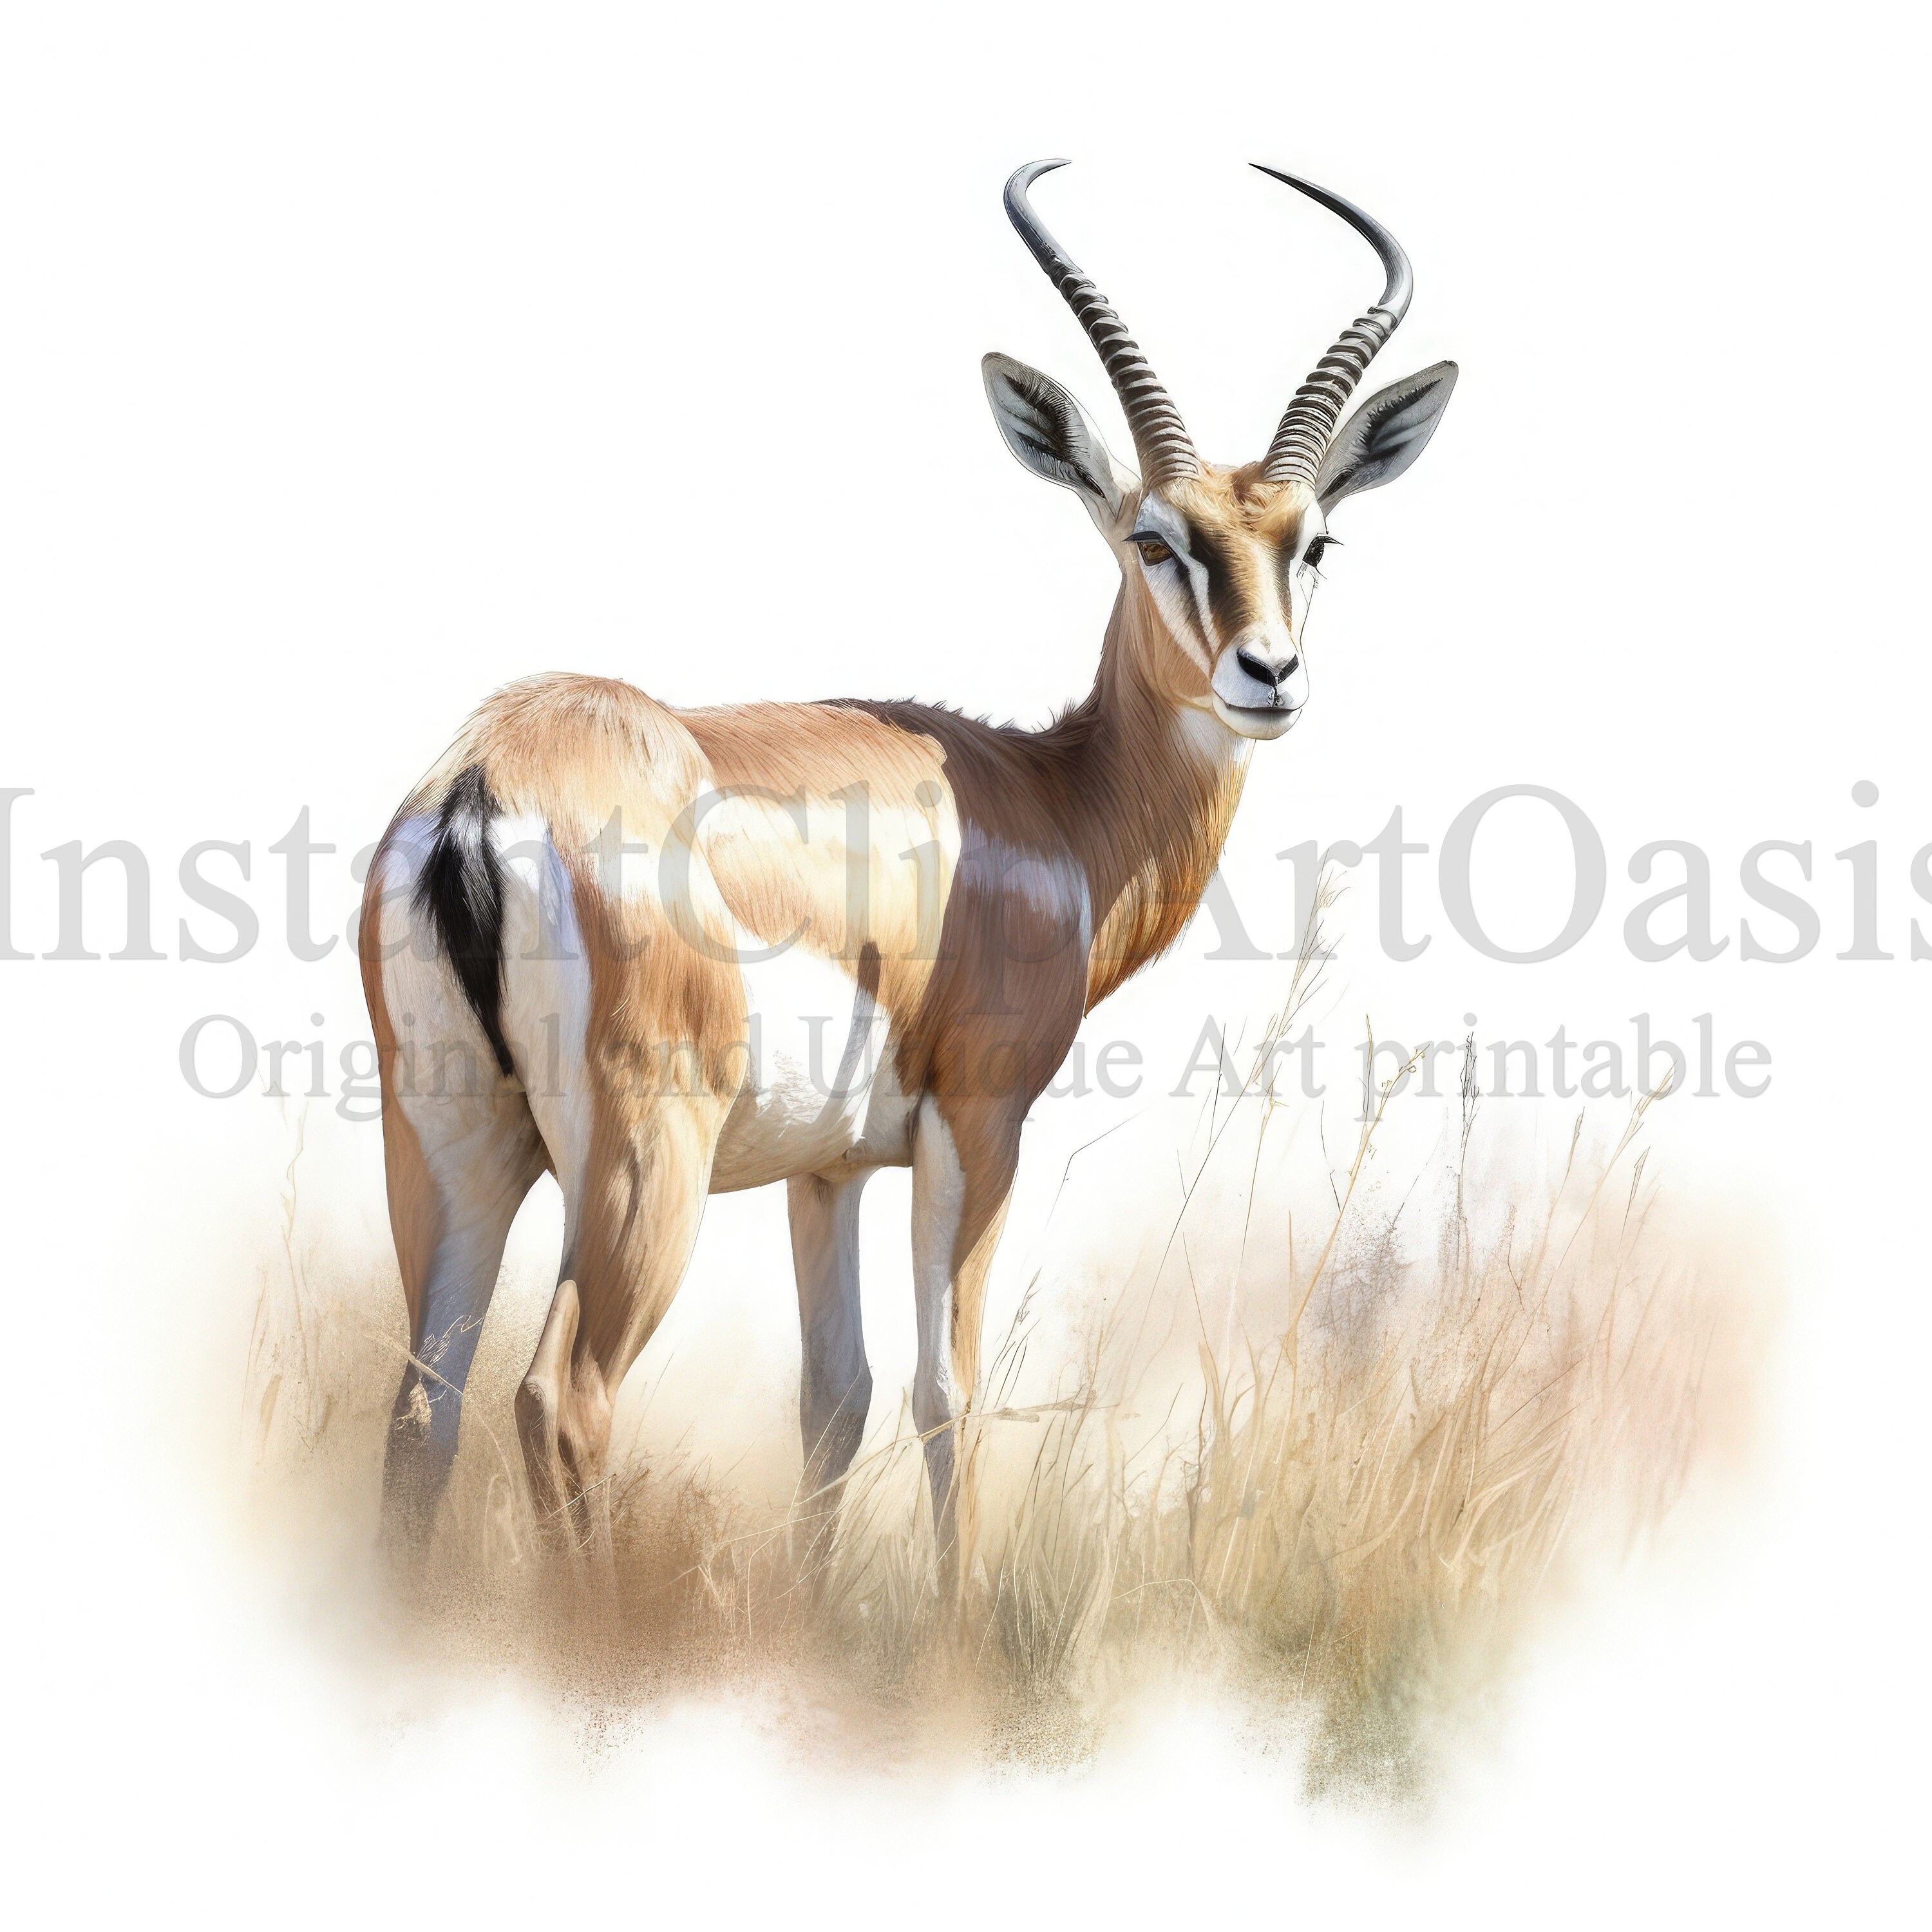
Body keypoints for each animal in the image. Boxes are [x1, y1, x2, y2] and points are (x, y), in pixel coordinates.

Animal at [360, 161, 1457, 1571]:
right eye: (1155, 538)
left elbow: (838, 1397)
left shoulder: (823, 1173)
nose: (1267, 673)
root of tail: (486, 777)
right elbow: (951, 1395)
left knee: (418, 1418)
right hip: (641, 1164)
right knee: (561, 1398)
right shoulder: (978, 1126)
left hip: (452, 1147)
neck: (1050, 802)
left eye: (1312, 541)